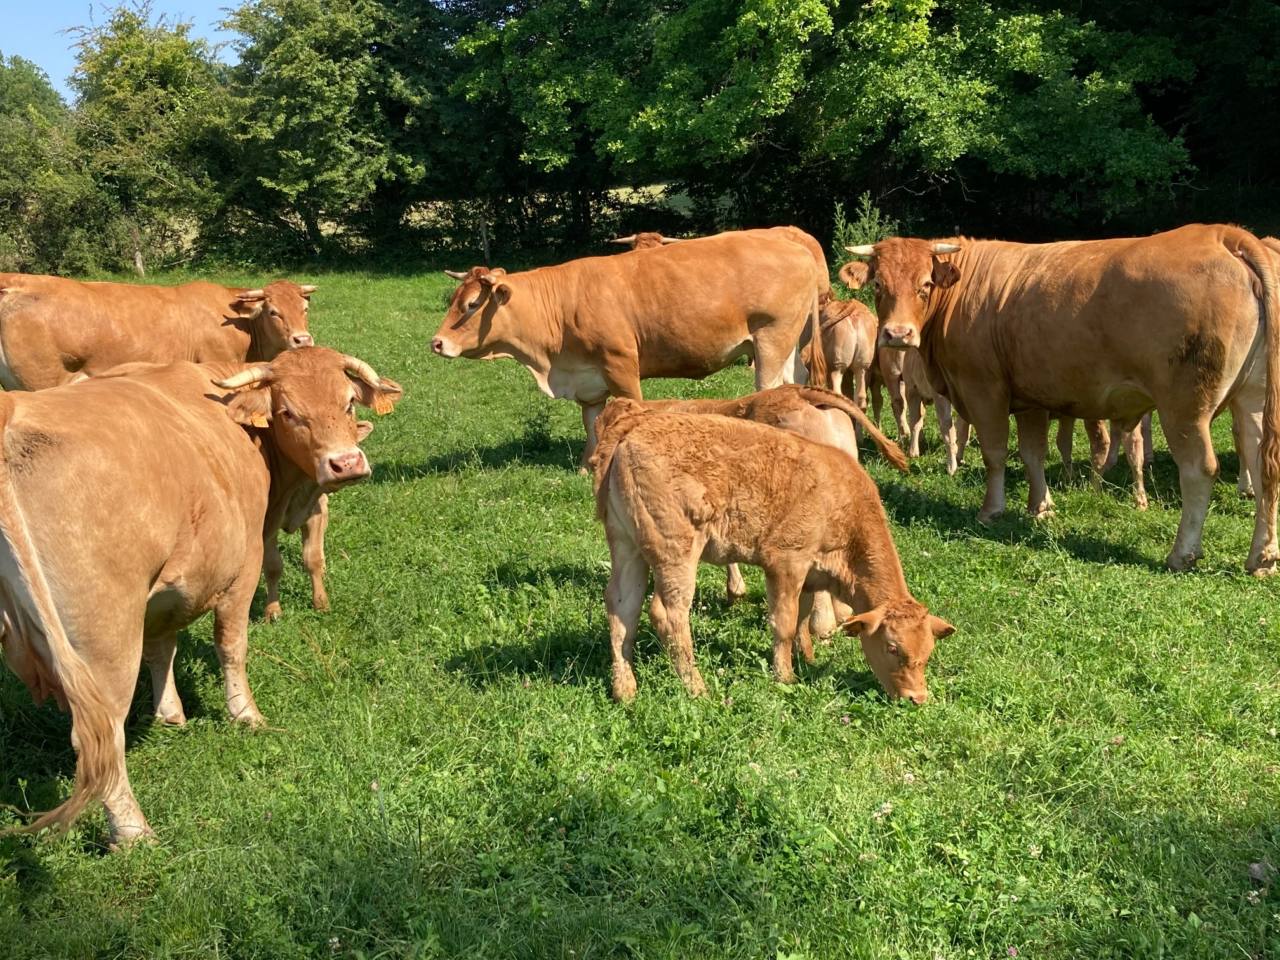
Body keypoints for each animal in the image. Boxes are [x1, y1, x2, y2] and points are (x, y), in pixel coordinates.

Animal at [0, 350, 399, 844]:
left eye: (348, 402)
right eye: (288, 412)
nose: (345, 463)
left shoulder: (162, 594)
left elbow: (162, 648)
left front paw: (170, 713)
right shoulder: (244, 565)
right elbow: (232, 645)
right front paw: (245, 714)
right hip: (104, 639)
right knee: (101, 738)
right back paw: (133, 832)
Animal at [588, 401, 952, 701]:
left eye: (928, 653)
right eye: (892, 647)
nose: (917, 698)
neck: (842, 502)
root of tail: (634, 429)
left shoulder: (810, 574)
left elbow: (803, 616)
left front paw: (807, 657)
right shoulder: (787, 562)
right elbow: (785, 622)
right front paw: (786, 677)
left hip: (627, 546)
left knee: (622, 608)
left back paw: (625, 689)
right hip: (675, 551)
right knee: (667, 614)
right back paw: (696, 688)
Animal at [844, 224, 1274, 570]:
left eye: (925, 284)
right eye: (878, 285)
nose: (897, 335)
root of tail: (1221, 234)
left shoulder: (983, 388)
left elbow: (995, 453)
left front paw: (991, 509)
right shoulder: (1031, 395)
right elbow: (1032, 454)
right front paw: (1041, 507)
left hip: (1184, 404)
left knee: (1200, 469)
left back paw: (1182, 553)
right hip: (1253, 396)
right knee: (1262, 463)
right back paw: (1262, 556)